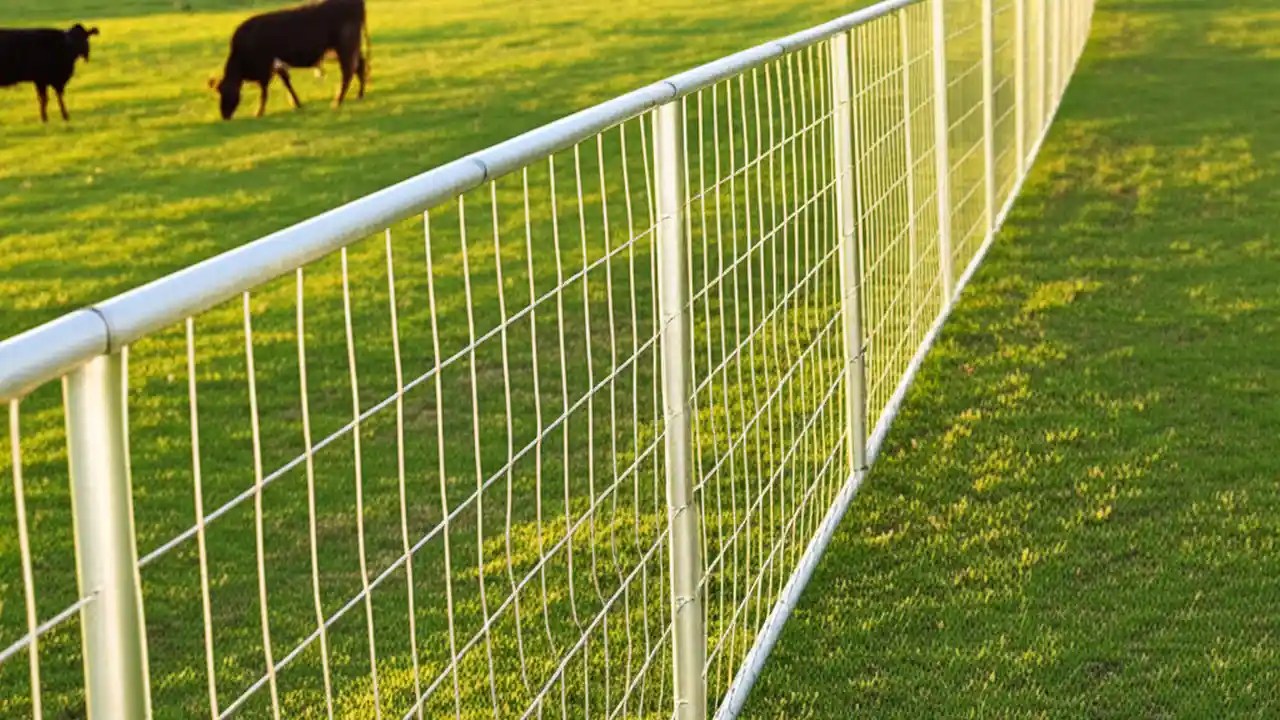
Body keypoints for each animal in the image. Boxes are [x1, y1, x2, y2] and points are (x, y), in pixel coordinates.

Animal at [209, 0, 370, 120]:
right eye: (218, 92)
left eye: (226, 92)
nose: (224, 116)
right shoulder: (277, 65)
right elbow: (287, 83)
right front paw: (297, 103)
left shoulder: (264, 69)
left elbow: (264, 92)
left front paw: (259, 112)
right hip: (347, 49)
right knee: (360, 66)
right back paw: (359, 95)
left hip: (345, 47)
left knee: (348, 73)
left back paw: (337, 101)